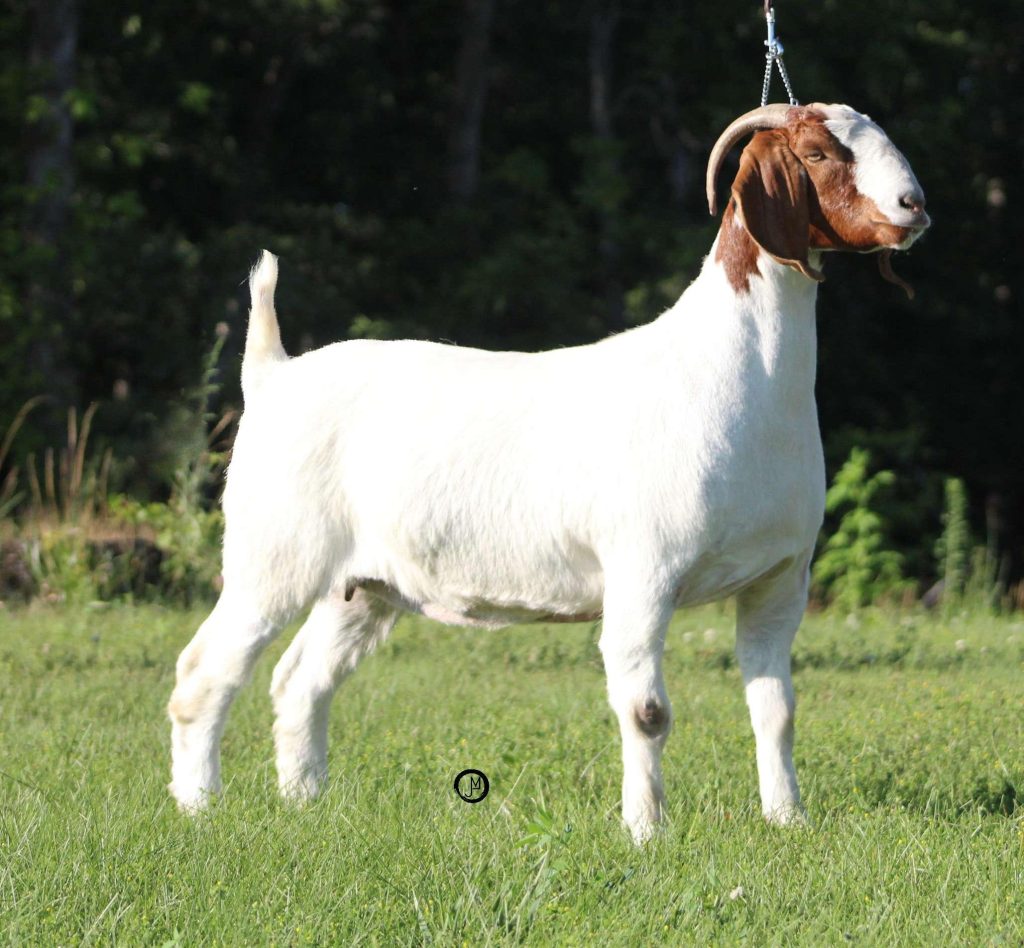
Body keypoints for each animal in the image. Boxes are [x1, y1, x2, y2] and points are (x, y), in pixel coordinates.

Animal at [168, 103, 929, 842]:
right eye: (818, 153)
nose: (914, 205)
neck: (737, 373)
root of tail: (274, 373)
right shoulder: (643, 571)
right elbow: (646, 709)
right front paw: (646, 831)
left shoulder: (779, 580)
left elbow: (777, 709)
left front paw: (787, 820)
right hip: (272, 557)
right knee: (205, 673)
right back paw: (199, 807)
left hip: (358, 587)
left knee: (300, 682)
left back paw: (306, 803)